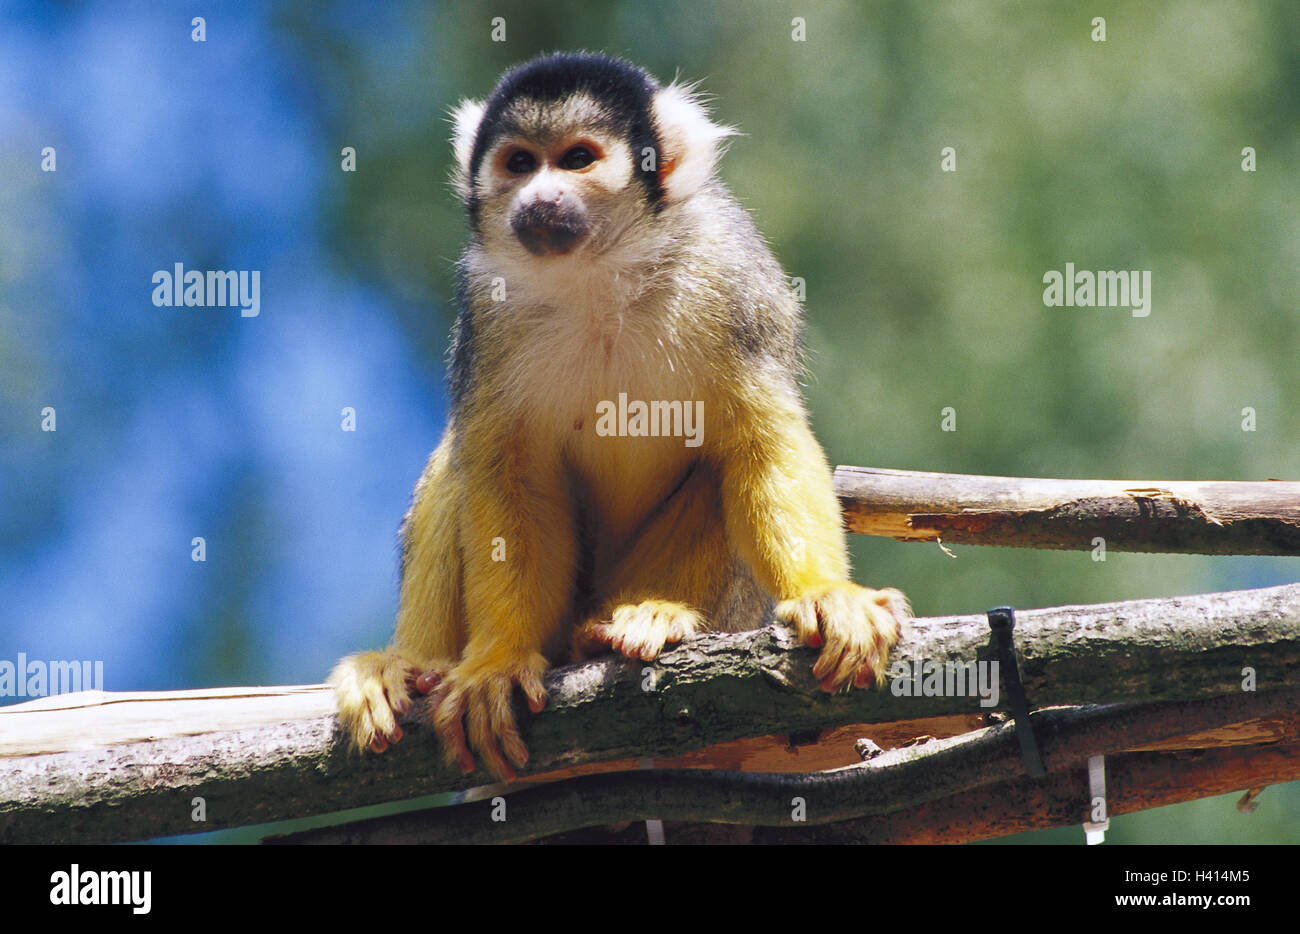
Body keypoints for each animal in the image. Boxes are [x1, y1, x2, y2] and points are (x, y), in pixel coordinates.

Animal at [330, 52, 908, 781]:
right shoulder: (485, 305)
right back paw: (412, 665)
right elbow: (508, 469)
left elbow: (760, 441)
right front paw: (497, 660)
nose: (539, 198)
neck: (598, 272)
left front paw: (828, 592)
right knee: (461, 459)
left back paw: (643, 621)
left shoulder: (730, 272)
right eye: (519, 163)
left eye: (577, 158)